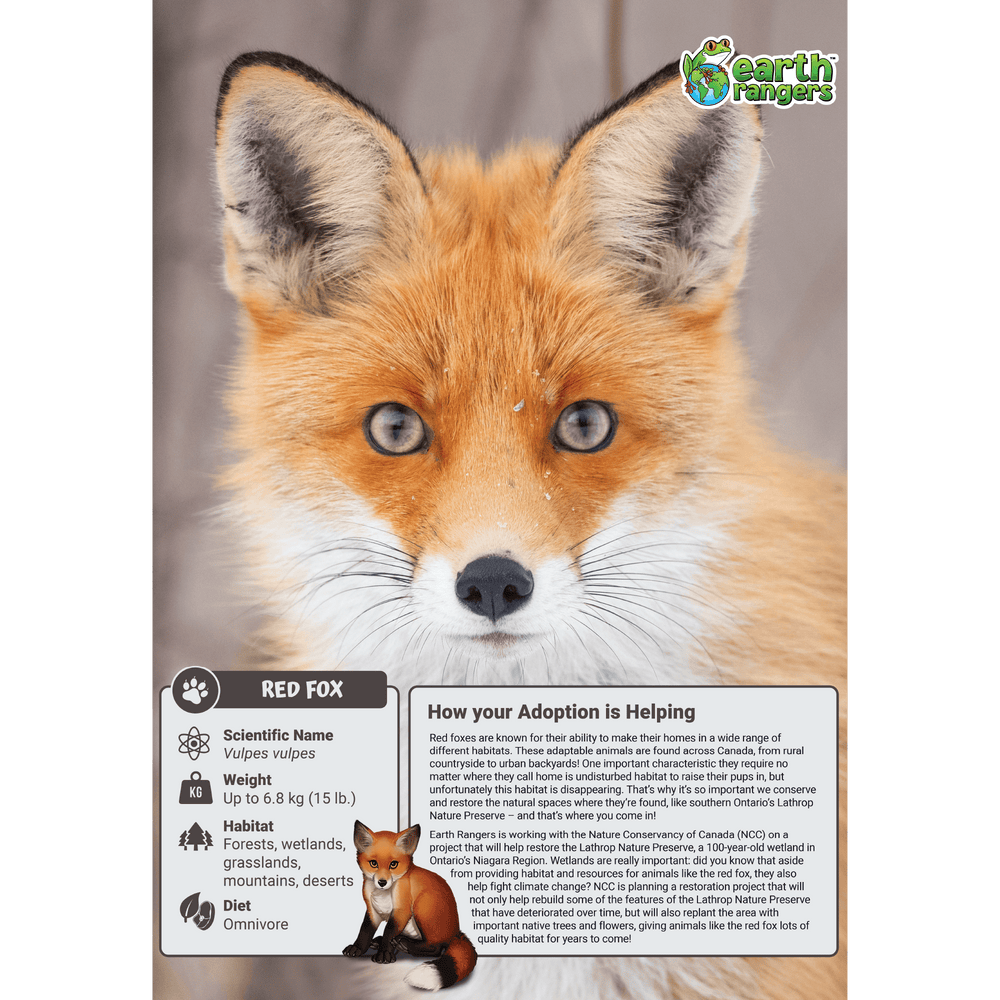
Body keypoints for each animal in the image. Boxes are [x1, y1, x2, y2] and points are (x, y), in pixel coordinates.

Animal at [344, 822, 478, 990]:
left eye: (393, 864)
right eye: (373, 863)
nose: (382, 882)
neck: (382, 894)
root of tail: (456, 931)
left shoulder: (402, 910)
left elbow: (389, 931)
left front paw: (384, 954)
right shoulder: (372, 910)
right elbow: (365, 931)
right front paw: (358, 948)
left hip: (422, 907)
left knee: (437, 948)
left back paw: (405, 945)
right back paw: (382, 941)